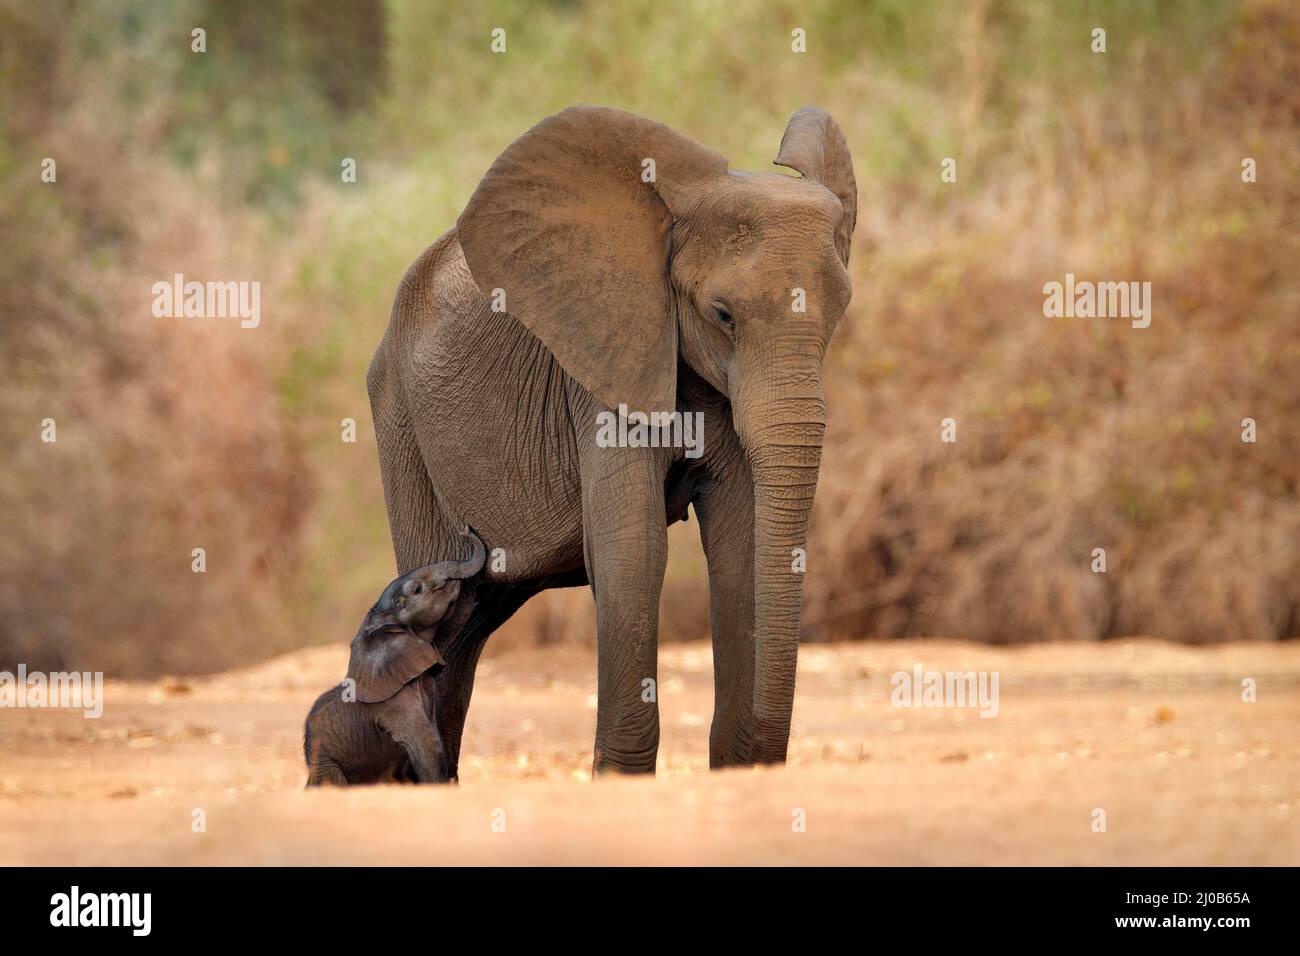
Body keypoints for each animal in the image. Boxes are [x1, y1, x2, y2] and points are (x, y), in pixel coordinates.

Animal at [303, 528, 485, 786]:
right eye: (417, 590)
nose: (466, 529)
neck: (375, 624)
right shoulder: (396, 704)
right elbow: (427, 745)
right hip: (326, 764)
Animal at [367, 105, 856, 775]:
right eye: (723, 315)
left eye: (839, 312)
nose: (759, 760)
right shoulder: (601, 362)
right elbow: (634, 549)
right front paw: (621, 778)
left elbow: (739, 546)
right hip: (400, 425)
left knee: (464, 634)